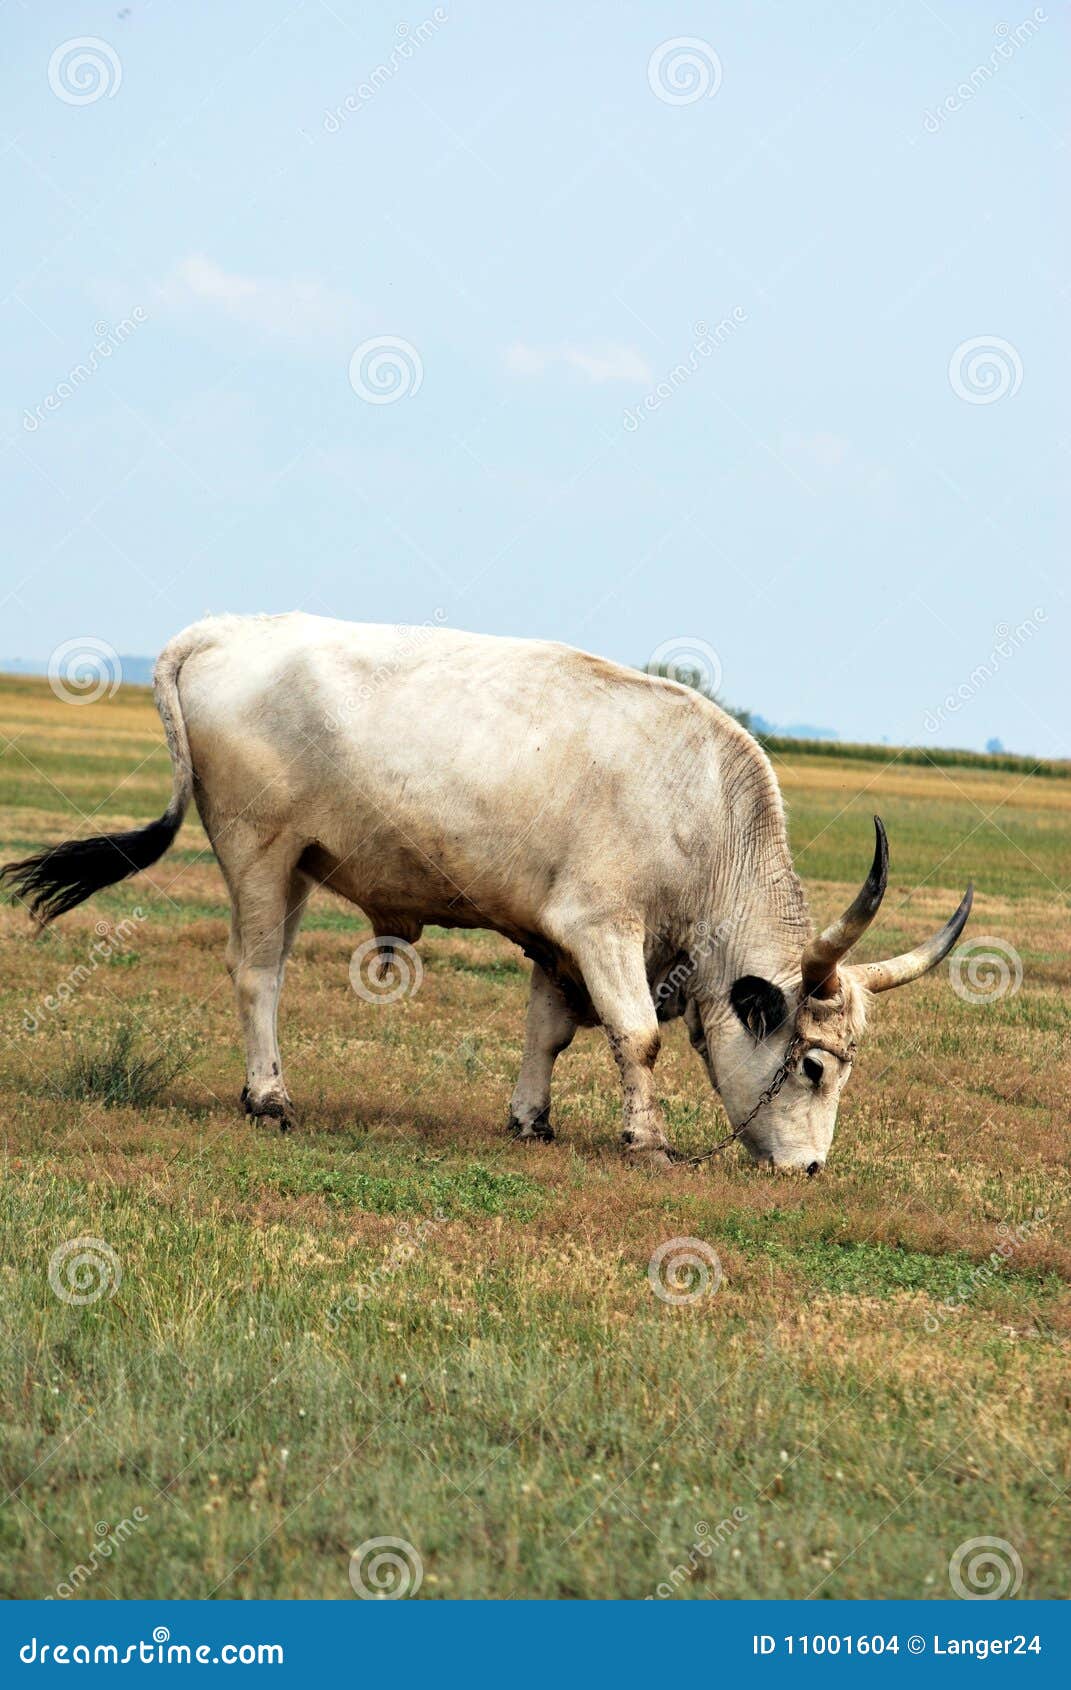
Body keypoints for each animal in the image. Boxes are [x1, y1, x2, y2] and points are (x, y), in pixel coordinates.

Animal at [1, 614, 972, 1171]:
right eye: (811, 1066)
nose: (809, 1170)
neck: (704, 818)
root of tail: (217, 630)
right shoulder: (602, 929)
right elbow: (637, 1038)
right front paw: (648, 1143)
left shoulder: (557, 940)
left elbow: (547, 1033)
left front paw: (530, 1120)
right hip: (260, 854)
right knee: (257, 974)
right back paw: (269, 1098)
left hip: (302, 860)